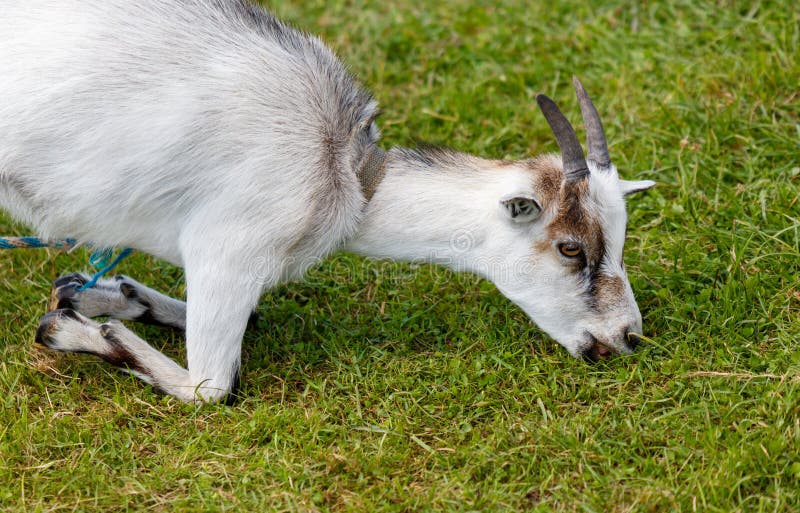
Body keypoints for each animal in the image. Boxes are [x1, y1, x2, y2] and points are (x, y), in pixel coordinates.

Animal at [0, 0, 655, 403]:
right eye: (570, 248)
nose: (629, 337)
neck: (349, 174)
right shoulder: (227, 250)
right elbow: (210, 388)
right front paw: (69, 327)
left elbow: (248, 318)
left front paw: (100, 293)